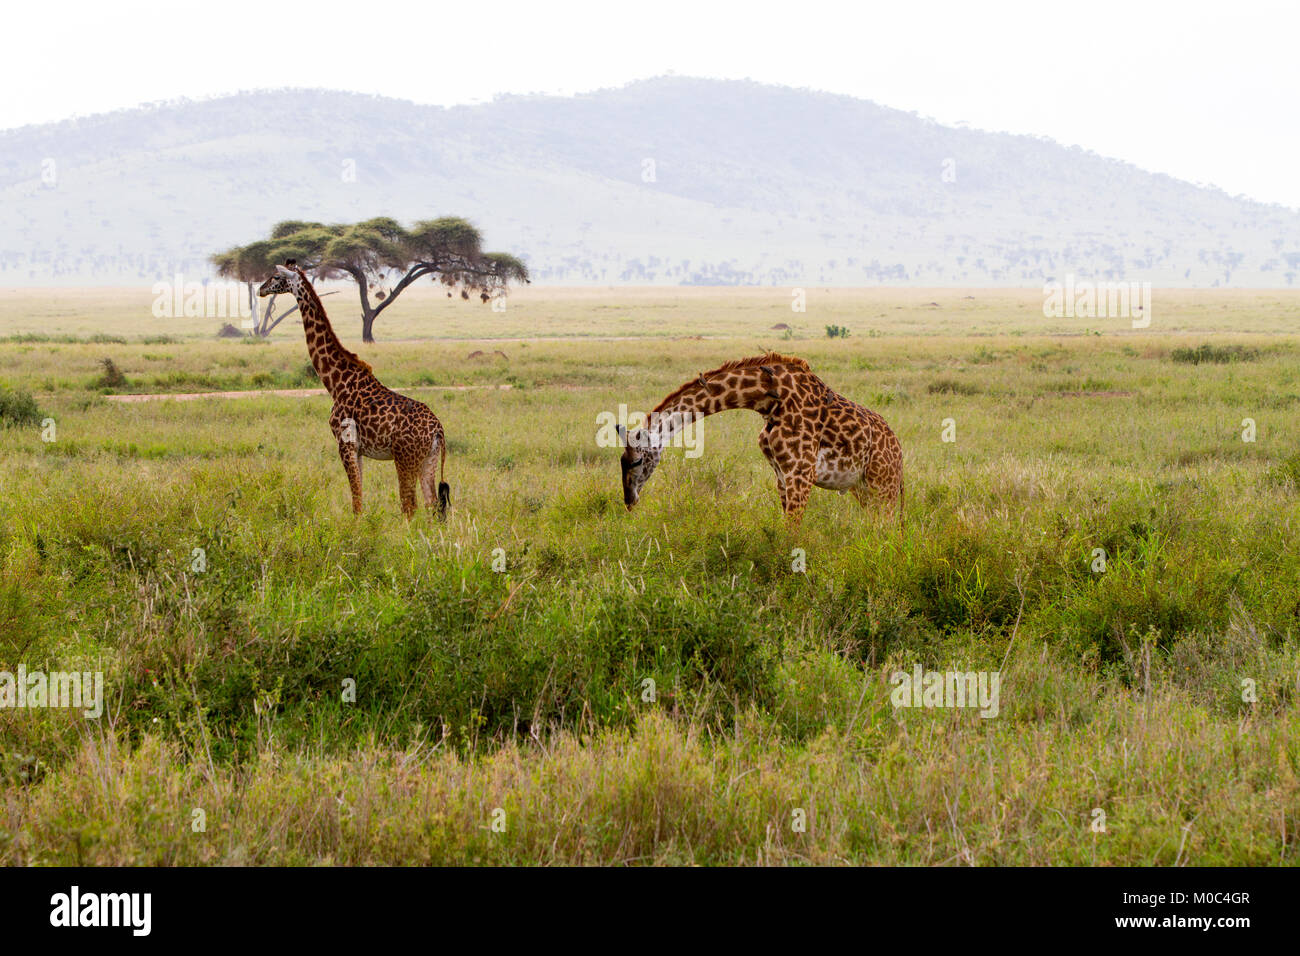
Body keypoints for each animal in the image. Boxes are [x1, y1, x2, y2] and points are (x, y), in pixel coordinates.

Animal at [257, 260, 450, 520]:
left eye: (276, 277)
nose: (261, 289)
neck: (336, 382)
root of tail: (438, 430)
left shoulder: (345, 444)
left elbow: (356, 502)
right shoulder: (358, 450)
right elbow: (360, 497)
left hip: (405, 458)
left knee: (410, 505)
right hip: (428, 459)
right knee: (432, 506)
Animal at [617, 352, 902, 524]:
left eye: (636, 461)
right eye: (621, 461)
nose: (629, 501)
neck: (769, 401)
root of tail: (899, 451)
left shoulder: (801, 474)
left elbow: (793, 531)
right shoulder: (782, 475)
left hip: (883, 486)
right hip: (863, 489)